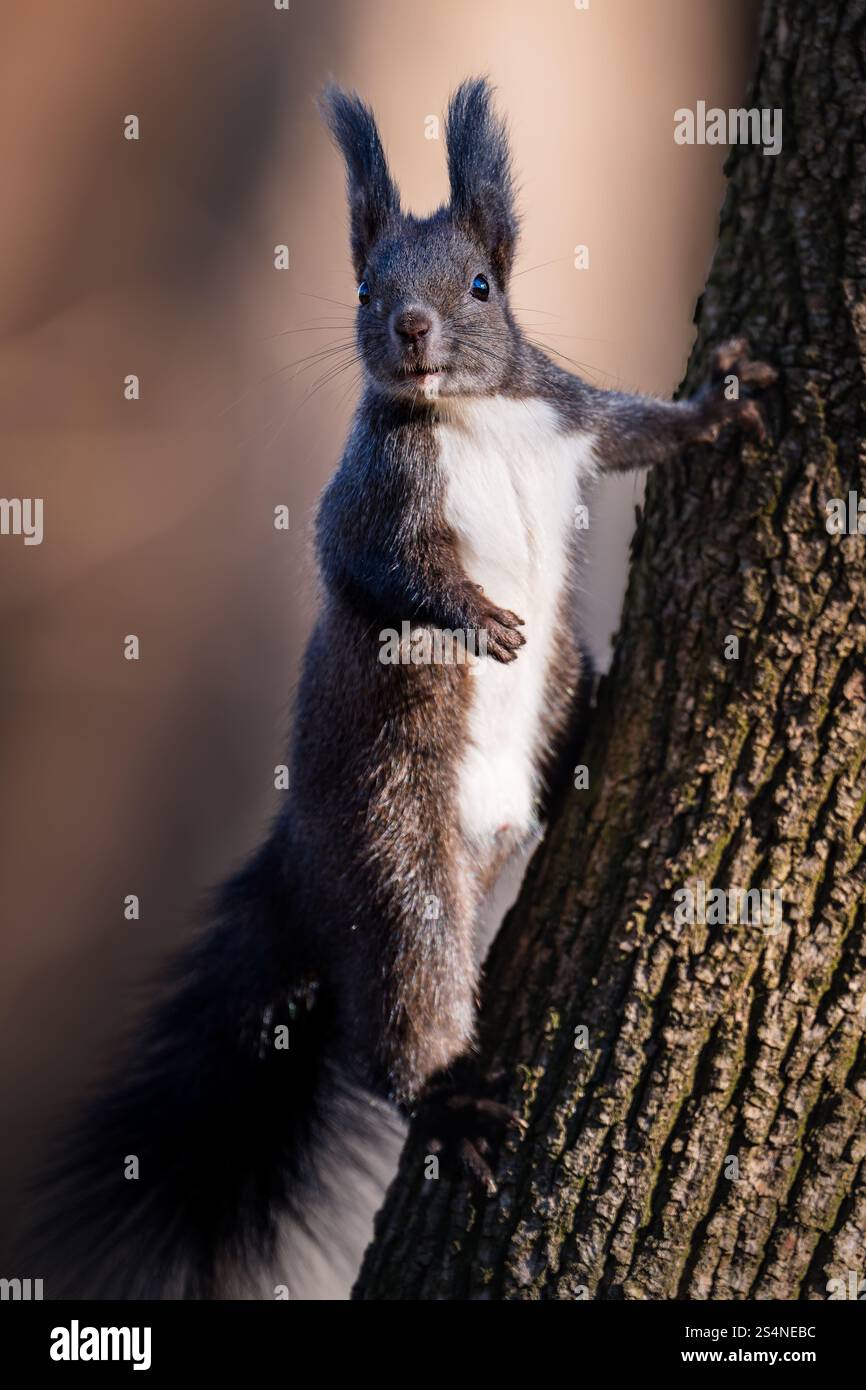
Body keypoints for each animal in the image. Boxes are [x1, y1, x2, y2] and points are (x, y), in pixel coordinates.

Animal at [30, 77, 775, 1298]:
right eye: (366, 289)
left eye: (479, 284)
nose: (410, 329)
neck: (471, 413)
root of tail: (298, 859)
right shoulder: (369, 492)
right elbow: (365, 565)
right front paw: (475, 618)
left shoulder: (566, 412)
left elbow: (637, 430)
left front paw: (719, 405)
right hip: (397, 860)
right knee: (400, 1017)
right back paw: (448, 1104)